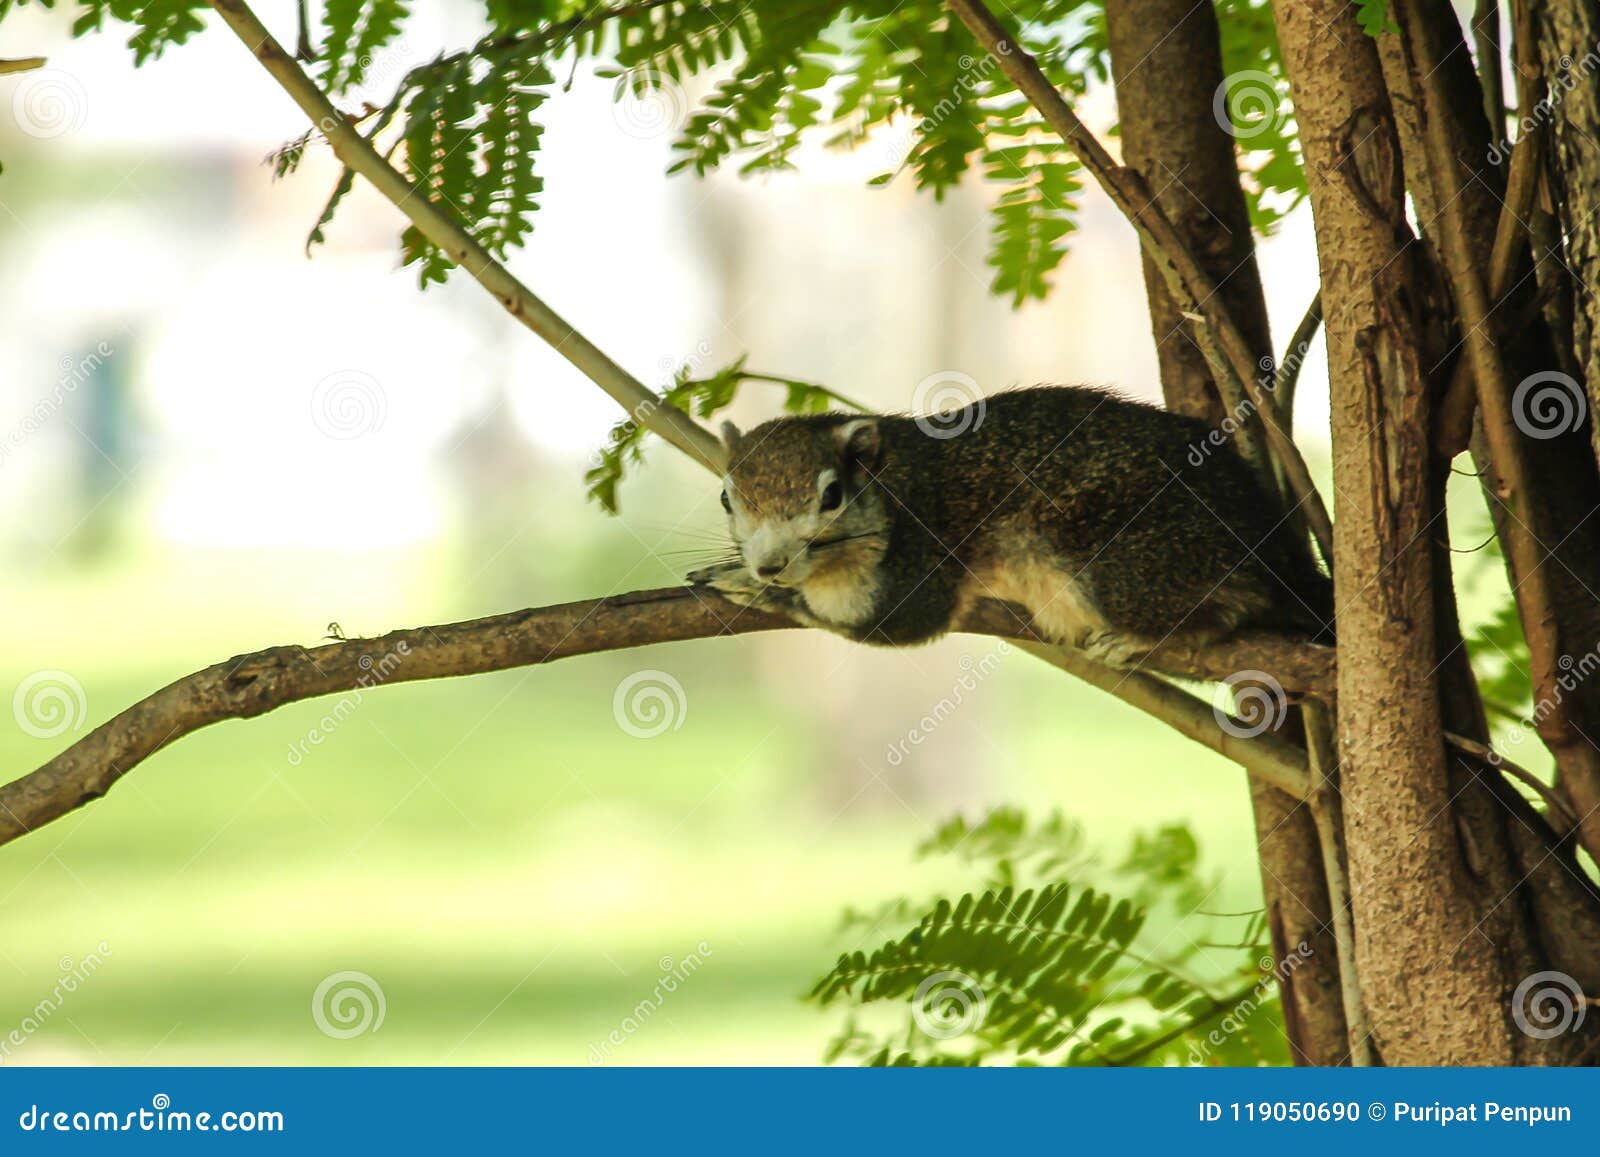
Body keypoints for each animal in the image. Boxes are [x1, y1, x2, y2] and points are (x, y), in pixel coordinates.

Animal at [687, 385, 1333, 662]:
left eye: (832, 495)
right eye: (725, 497)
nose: (769, 566)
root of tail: (1279, 550)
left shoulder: (924, 551)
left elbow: (892, 620)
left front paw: (754, 589)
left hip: (1134, 569)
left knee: (1236, 603)